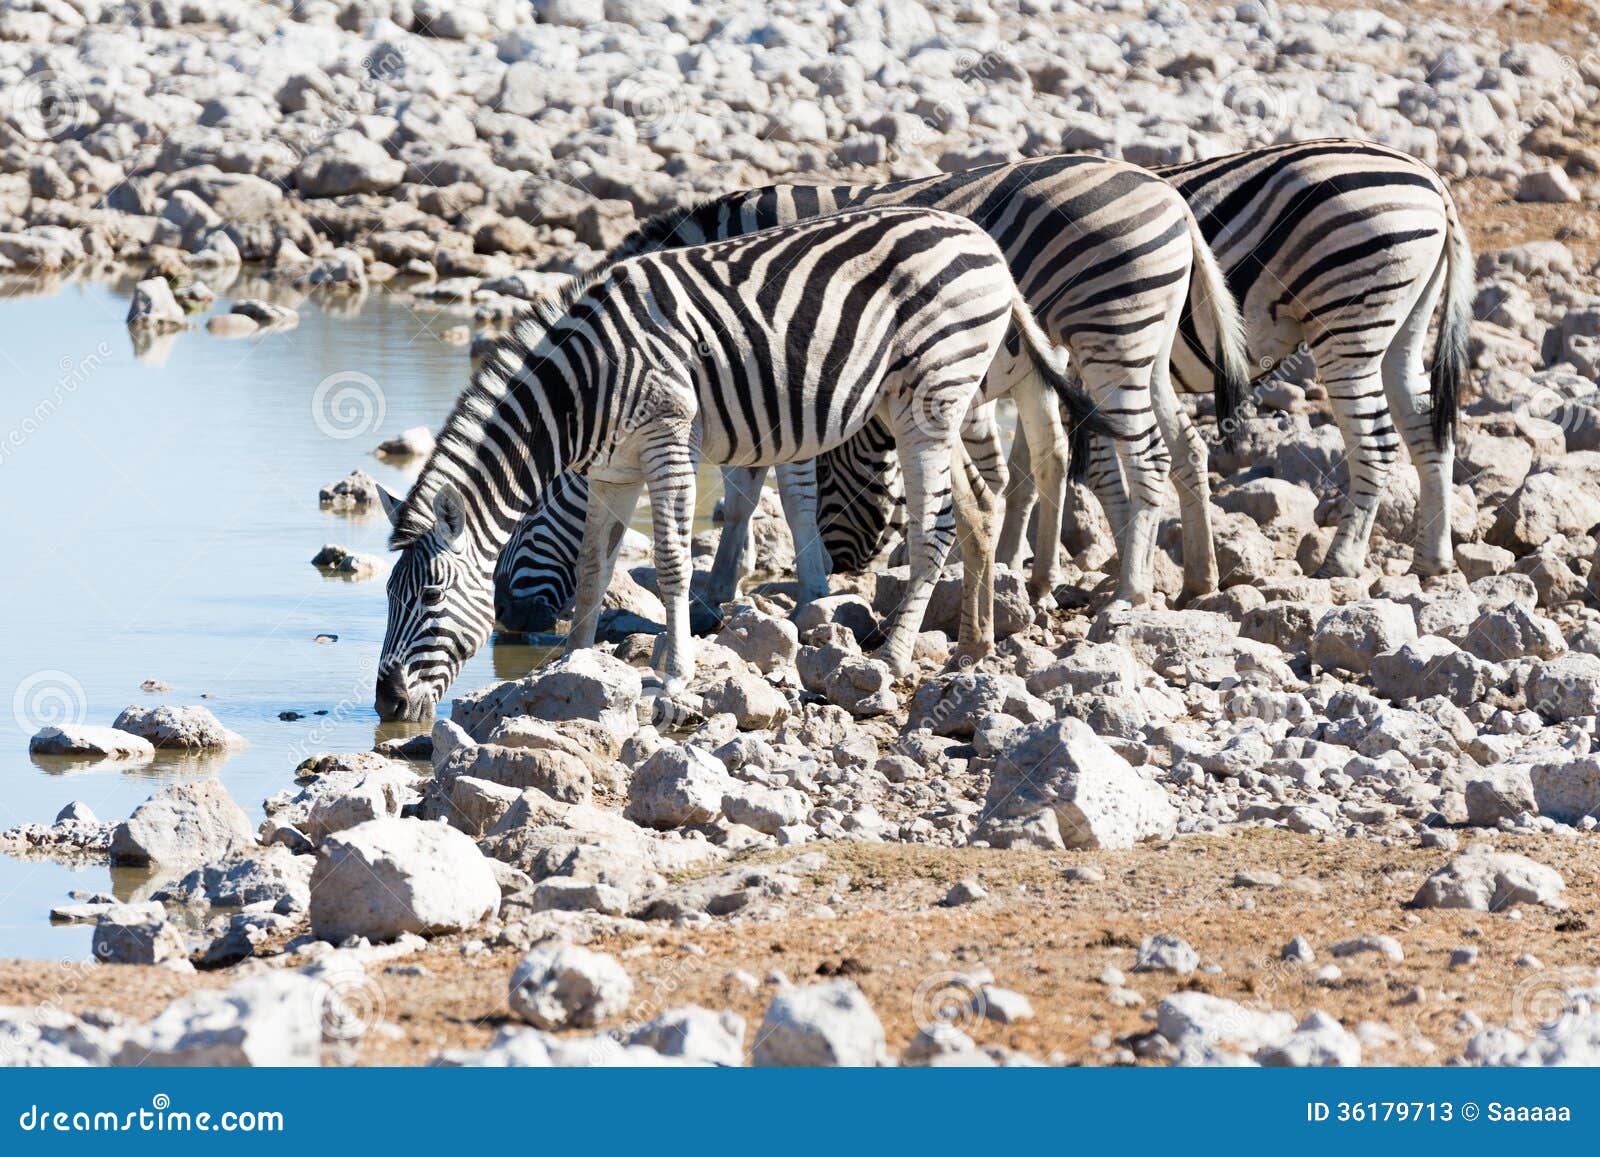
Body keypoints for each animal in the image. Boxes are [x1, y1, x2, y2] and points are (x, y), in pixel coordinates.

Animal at [373, 206, 1092, 720]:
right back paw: (975, 644)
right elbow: (591, 569)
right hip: (928, 406)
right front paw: (569, 666)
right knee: (979, 505)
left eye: (431, 596)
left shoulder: (668, 441)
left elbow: (670, 563)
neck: (585, 385)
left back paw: (892, 656)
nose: (386, 702)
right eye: (387, 597)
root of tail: (984, 242)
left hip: (931, 399)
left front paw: (673, 675)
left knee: (936, 528)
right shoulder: (612, 471)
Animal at [491, 153, 1251, 630]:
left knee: (1142, 458)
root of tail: (1173, 201)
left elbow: (781, 488)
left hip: (1112, 338)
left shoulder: (783, 368)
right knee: (1176, 448)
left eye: (524, 511)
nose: (509, 618)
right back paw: (1182, 580)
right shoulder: (743, 382)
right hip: (1139, 347)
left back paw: (1128, 591)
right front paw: (721, 589)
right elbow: (742, 492)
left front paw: (799, 588)